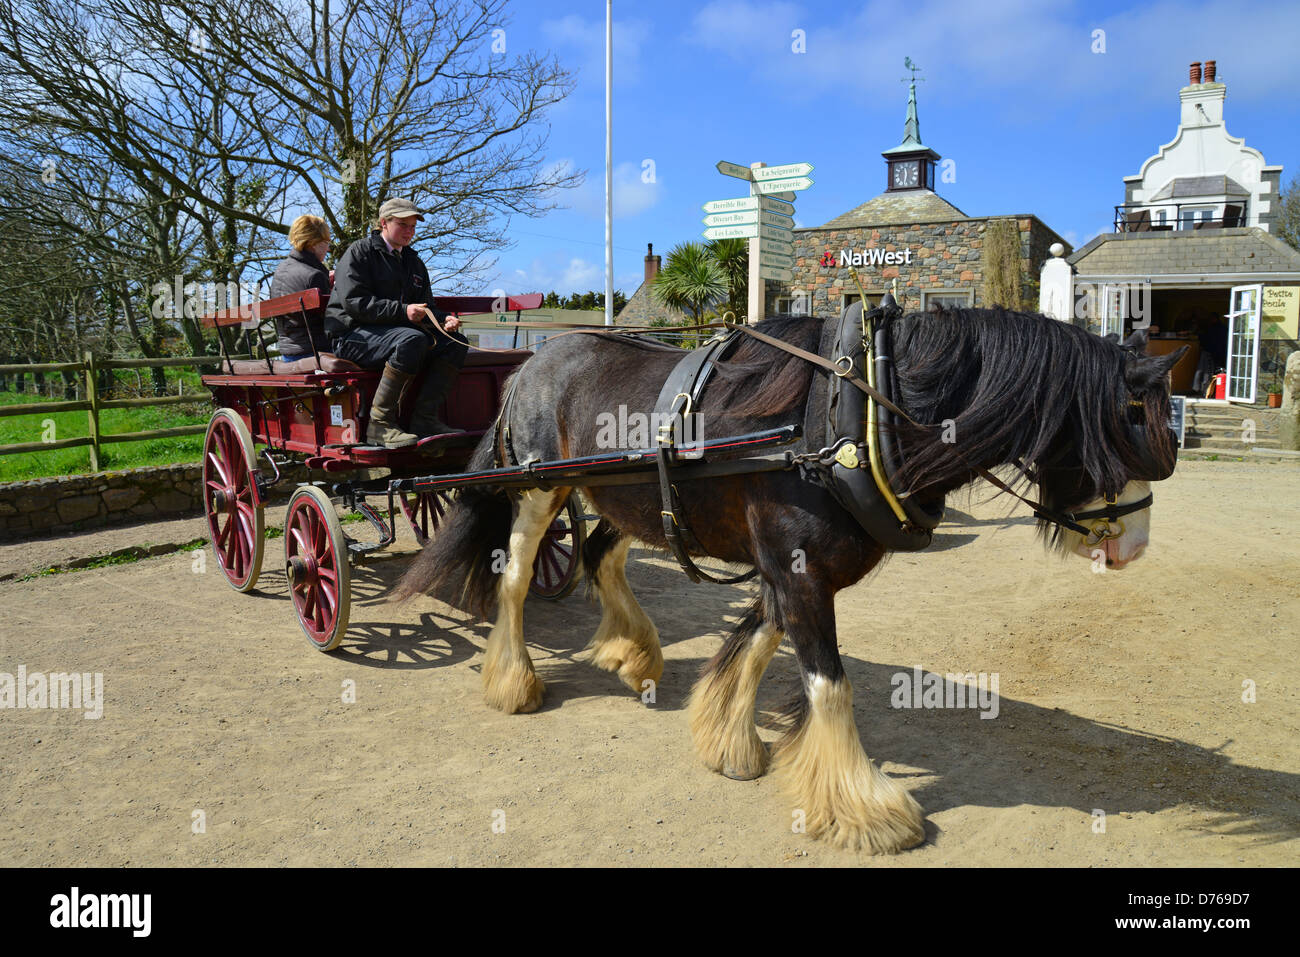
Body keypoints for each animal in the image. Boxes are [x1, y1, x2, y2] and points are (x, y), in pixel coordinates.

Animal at [393, 304, 1184, 854]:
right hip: (538, 489)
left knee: (599, 556)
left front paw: (728, 741)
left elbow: (756, 643)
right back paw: (514, 680)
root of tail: (535, 359)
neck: (856, 416)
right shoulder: (798, 571)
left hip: (632, 494)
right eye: (1124, 427)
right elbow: (828, 682)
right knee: (517, 578)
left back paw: (633, 652)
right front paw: (867, 809)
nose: (1136, 544)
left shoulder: (789, 567)